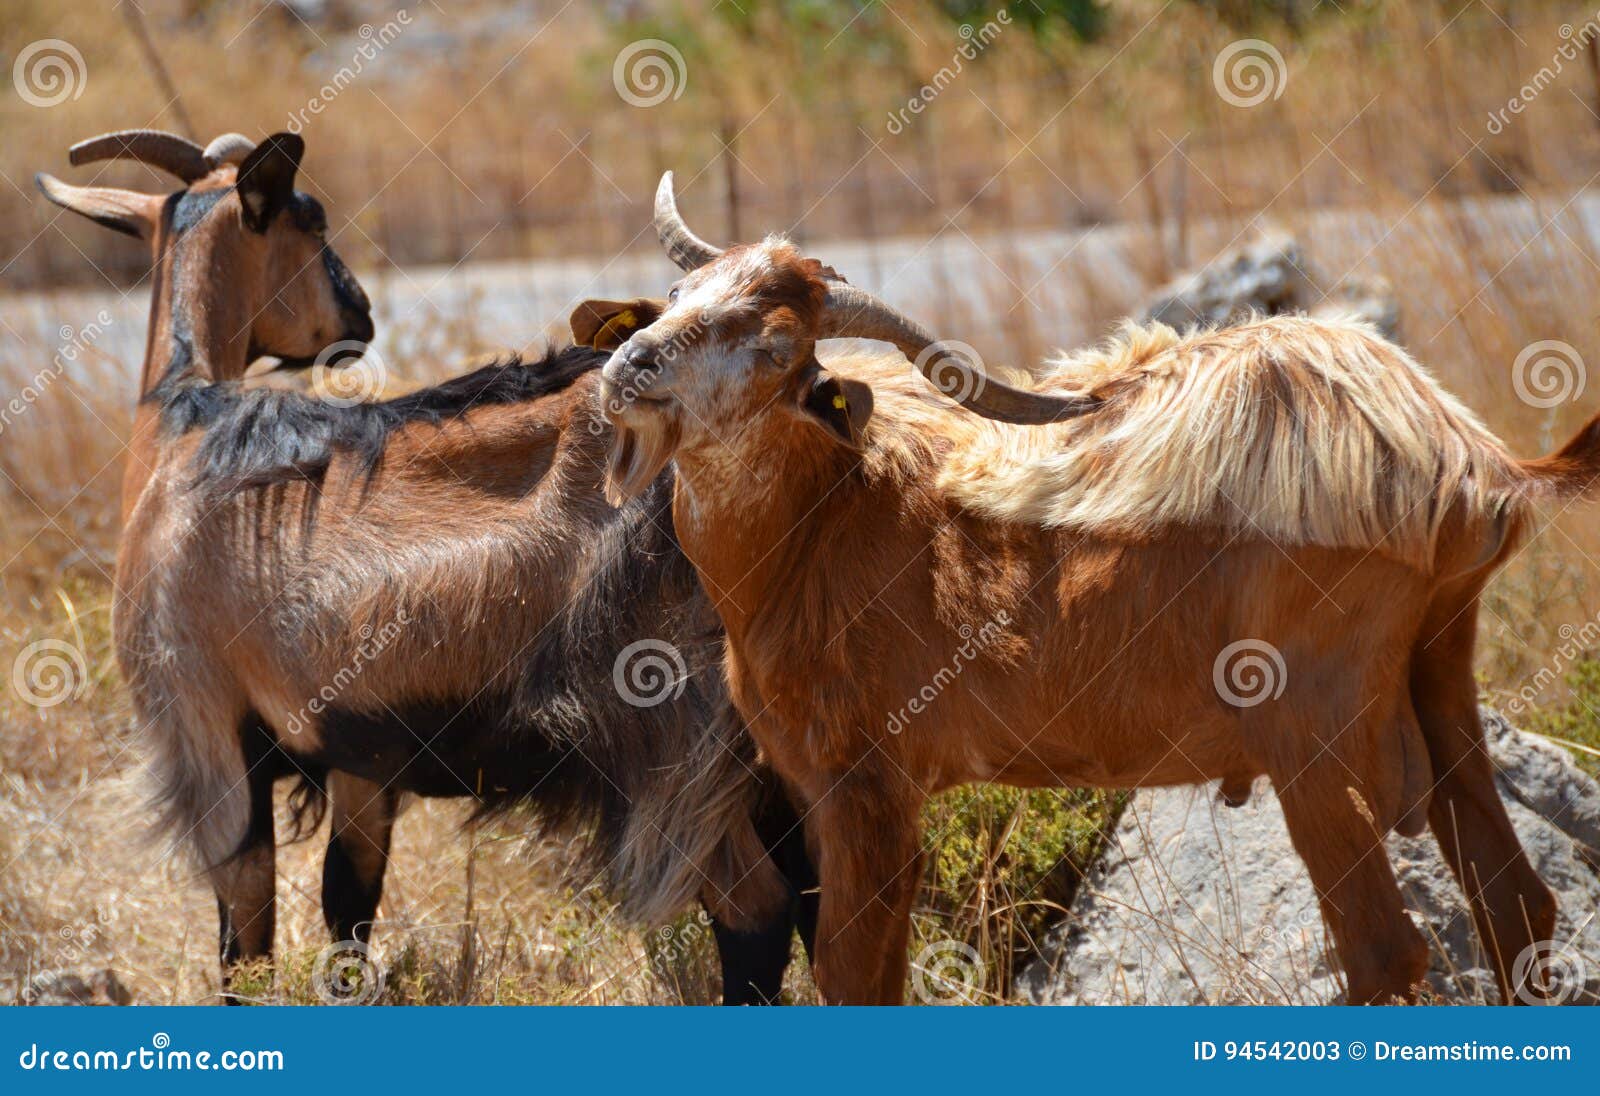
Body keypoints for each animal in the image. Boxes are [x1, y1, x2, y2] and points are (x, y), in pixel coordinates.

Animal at [42, 138, 815, 1003]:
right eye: (312, 223)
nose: (360, 315)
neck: (180, 432)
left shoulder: (202, 725)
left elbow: (245, 938)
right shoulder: (356, 746)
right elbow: (347, 898)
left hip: (667, 733)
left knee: (756, 907)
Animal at [588, 171, 1600, 1005]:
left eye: (775, 347)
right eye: (675, 297)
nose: (632, 366)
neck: (824, 521)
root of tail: (1461, 459)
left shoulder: (864, 785)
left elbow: (854, 978)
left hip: (1308, 723)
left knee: (1385, 948)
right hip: (1439, 668)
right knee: (1517, 904)